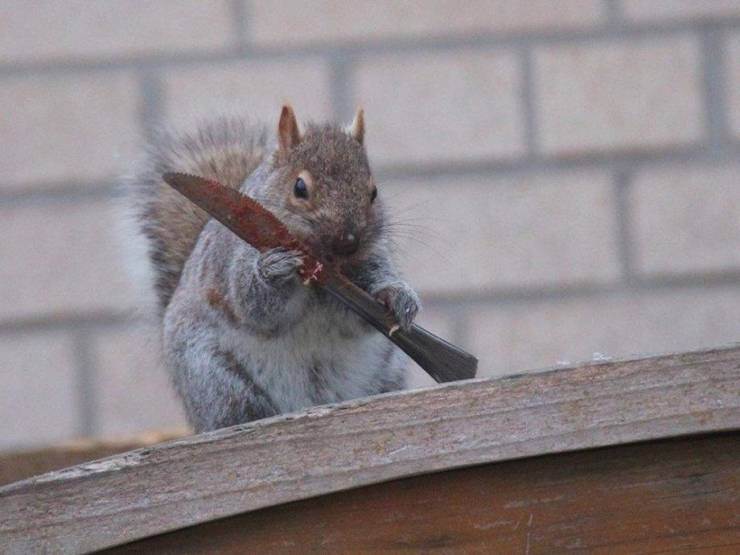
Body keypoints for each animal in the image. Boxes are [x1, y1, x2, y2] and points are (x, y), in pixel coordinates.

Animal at [127, 105, 421, 432]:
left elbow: (360, 316)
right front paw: (274, 270)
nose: (348, 241)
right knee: (237, 408)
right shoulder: (235, 259)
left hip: (388, 370)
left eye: (373, 192)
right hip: (213, 376)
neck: (322, 269)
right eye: (299, 187)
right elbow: (254, 306)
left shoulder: (365, 266)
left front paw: (397, 297)